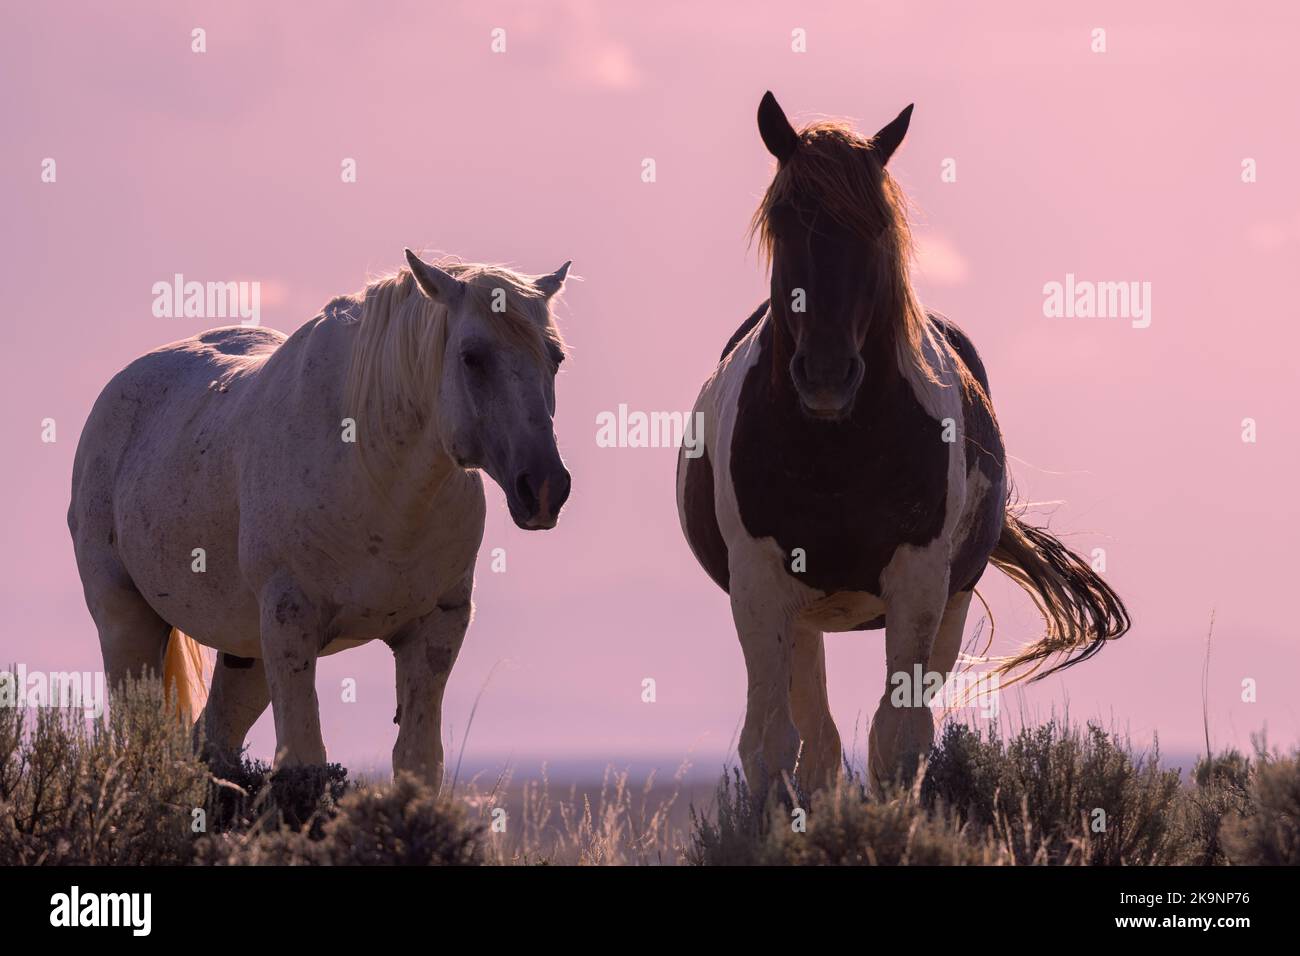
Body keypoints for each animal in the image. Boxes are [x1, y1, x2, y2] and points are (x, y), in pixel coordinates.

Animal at [68, 249, 572, 789]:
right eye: (471, 356)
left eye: (555, 357)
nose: (545, 487)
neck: (379, 483)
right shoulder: (291, 623)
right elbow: (302, 764)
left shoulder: (435, 630)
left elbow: (417, 761)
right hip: (126, 623)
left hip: (246, 653)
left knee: (210, 739)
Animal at [676, 92, 1129, 795]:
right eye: (783, 219)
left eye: (877, 224)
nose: (826, 374)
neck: (834, 452)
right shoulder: (759, 587)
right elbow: (770, 747)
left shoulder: (919, 586)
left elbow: (898, 741)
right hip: (800, 618)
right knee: (816, 744)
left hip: (948, 603)